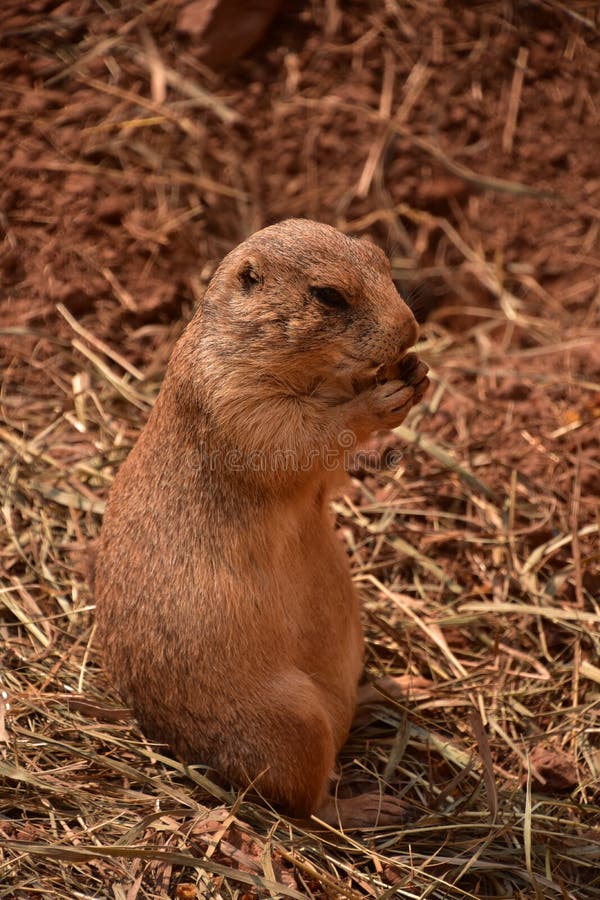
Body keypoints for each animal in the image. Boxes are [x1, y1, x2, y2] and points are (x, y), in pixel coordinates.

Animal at [94, 219, 429, 827]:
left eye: (383, 260)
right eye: (328, 295)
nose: (411, 331)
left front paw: (416, 374)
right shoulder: (238, 402)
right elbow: (302, 435)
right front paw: (384, 396)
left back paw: (399, 686)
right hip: (292, 723)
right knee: (308, 806)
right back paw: (371, 804)